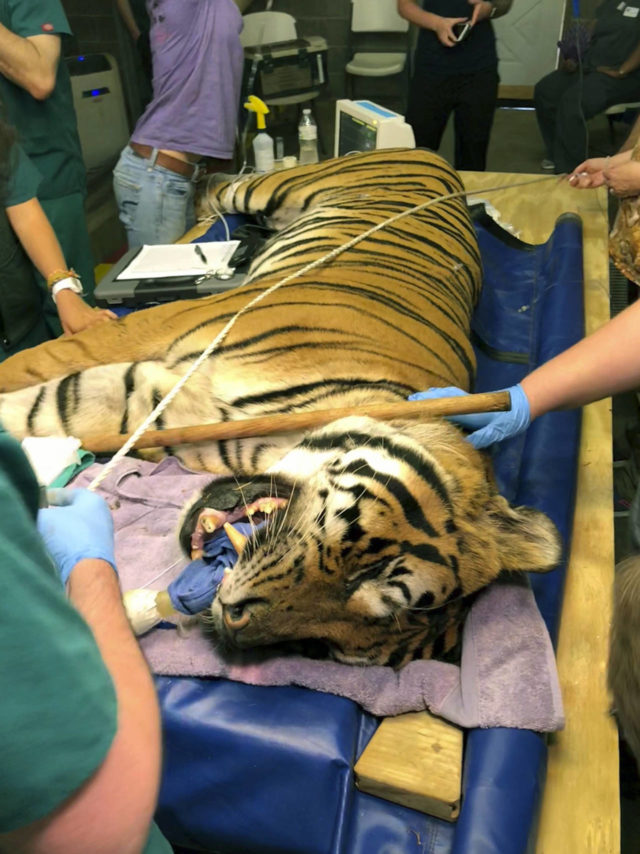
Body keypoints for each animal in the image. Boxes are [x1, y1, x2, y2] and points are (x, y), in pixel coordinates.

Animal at [0, 148, 561, 667]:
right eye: (365, 571)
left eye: (320, 648)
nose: (232, 621)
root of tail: (438, 160)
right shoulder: (151, 333)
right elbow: (29, 366)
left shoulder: (143, 400)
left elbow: (42, 409)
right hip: (280, 187)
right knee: (233, 185)